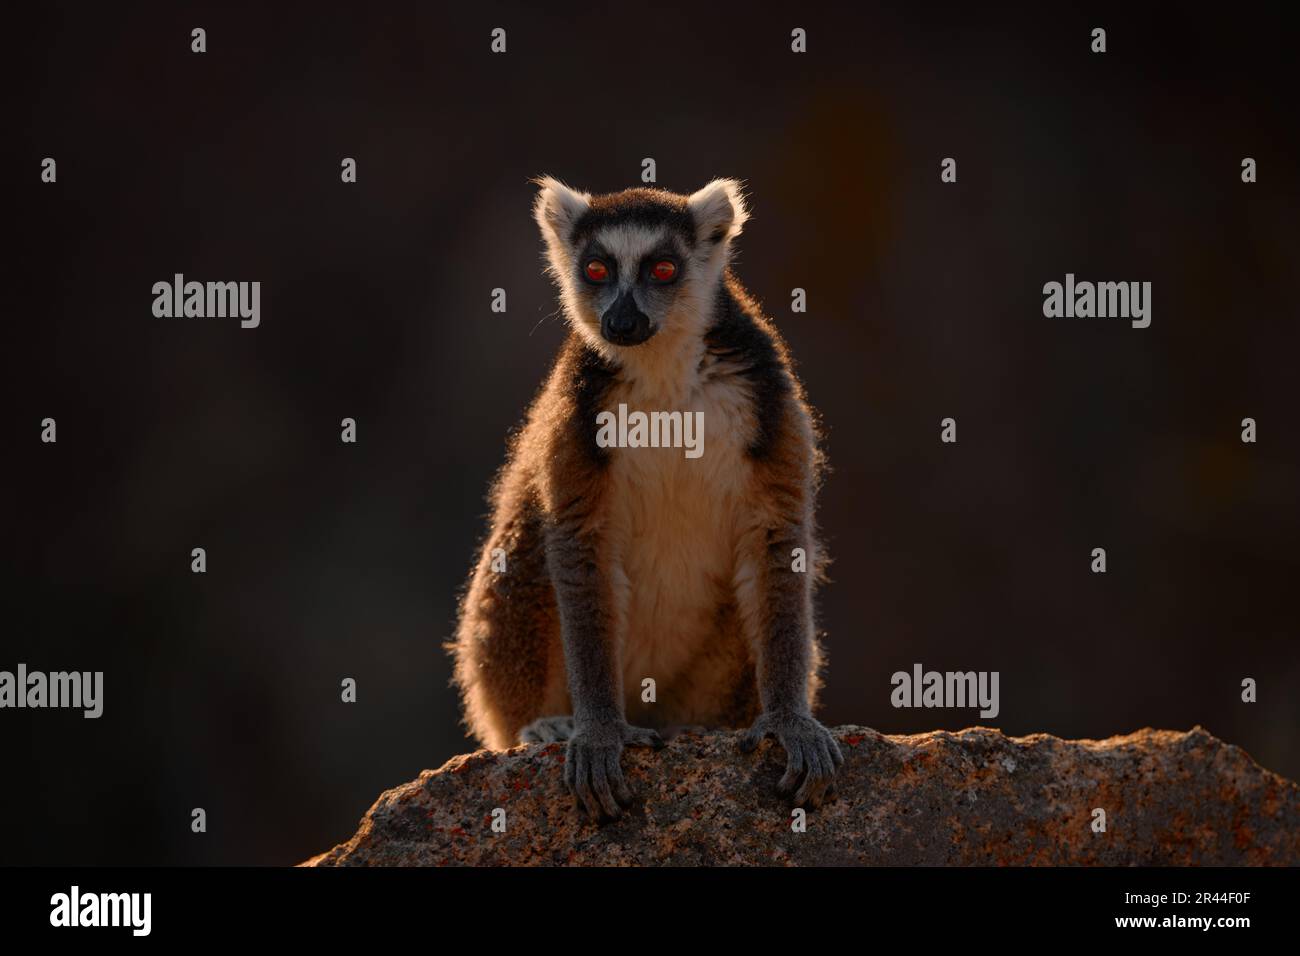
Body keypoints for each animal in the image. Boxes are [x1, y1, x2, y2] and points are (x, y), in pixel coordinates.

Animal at [448, 176, 842, 821]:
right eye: (597, 269)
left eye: (662, 269)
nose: (622, 321)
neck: (662, 373)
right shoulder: (577, 410)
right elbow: (578, 542)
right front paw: (599, 732)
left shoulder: (767, 395)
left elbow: (777, 536)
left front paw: (789, 722)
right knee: (526, 548)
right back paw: (542, 725)